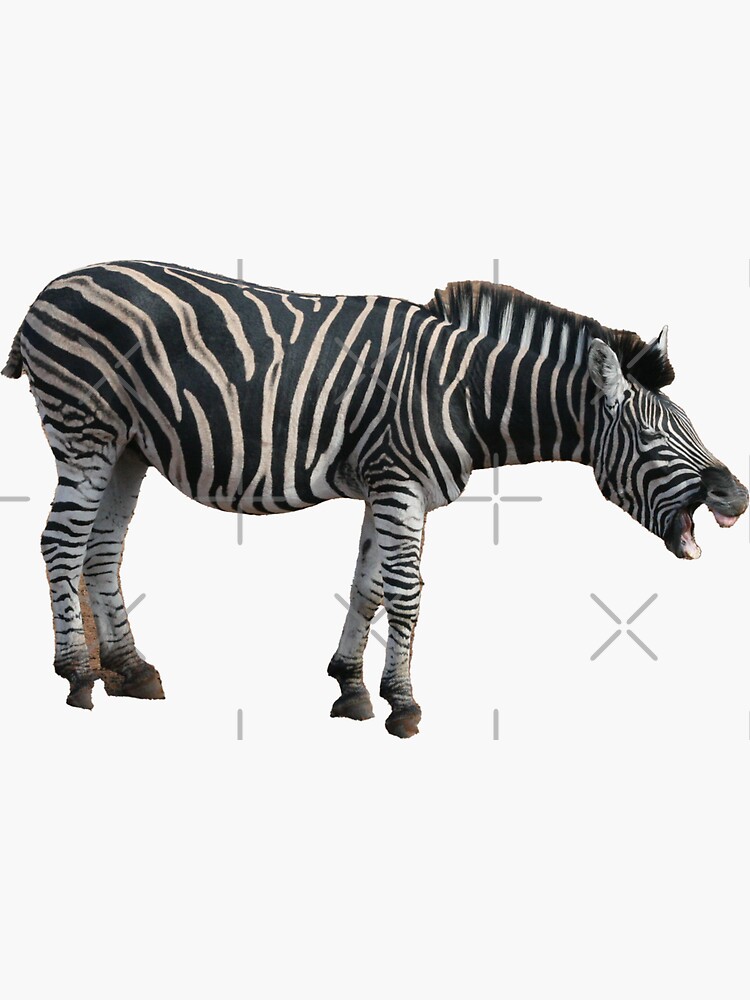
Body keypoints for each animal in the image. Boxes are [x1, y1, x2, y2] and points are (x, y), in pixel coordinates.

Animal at [4, 261, 747, 737]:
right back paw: (77, 675)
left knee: (101, 550)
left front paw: (352, 688)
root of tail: (51, 287)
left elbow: (369, 586)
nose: (737, 495)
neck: (467, 395)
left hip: (127, 446)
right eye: (653, 435)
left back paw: (128, 670)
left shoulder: (384, 486)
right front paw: (405, 705)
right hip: (86, 429)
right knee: (61, 544)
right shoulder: (399, 481)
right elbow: (408, 591)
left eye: (689, 424)